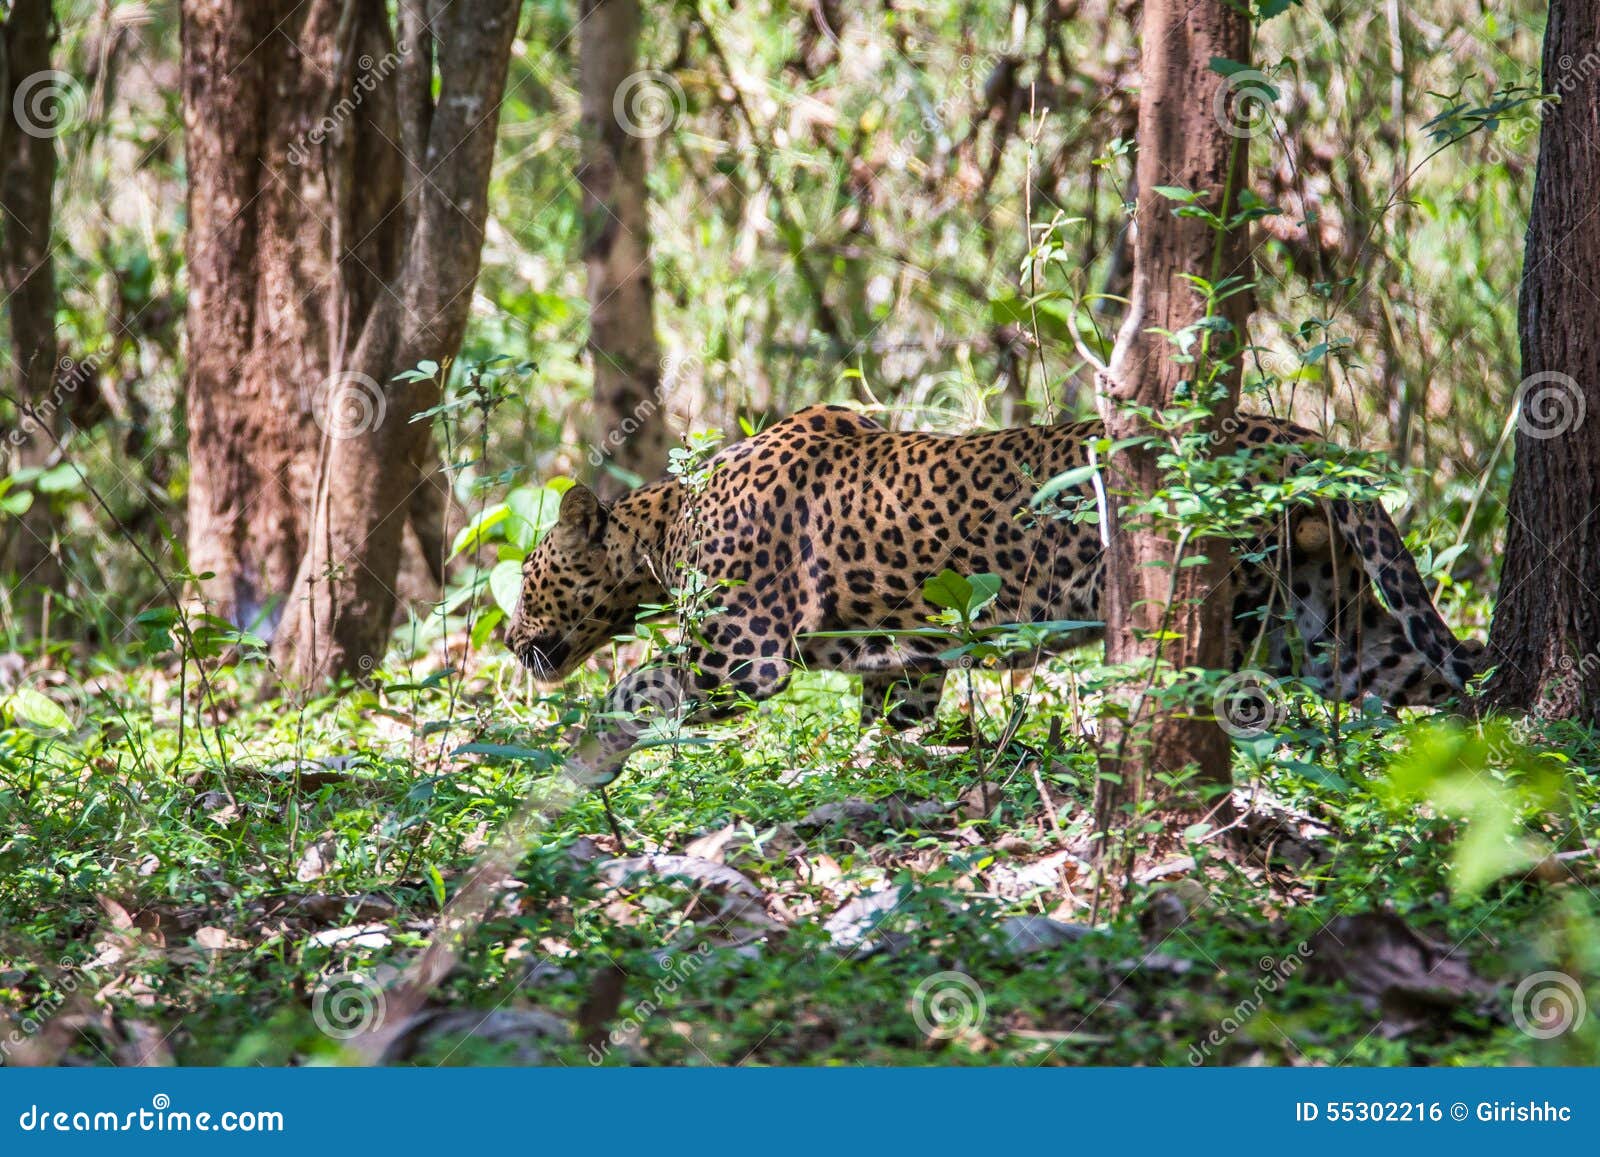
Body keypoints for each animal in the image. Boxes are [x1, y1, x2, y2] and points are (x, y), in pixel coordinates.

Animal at [505, 404, 1485, 784]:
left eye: (527, 579)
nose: (509, 637)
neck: (665, 525)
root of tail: (1292, 434)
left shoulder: (743, 653)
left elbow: (636, 682)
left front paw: (582, 751)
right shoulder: (906, 664)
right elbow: (890, 720)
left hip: (1232, 617)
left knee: (1245, 710)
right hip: (1325, 621)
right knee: (1435, 682)